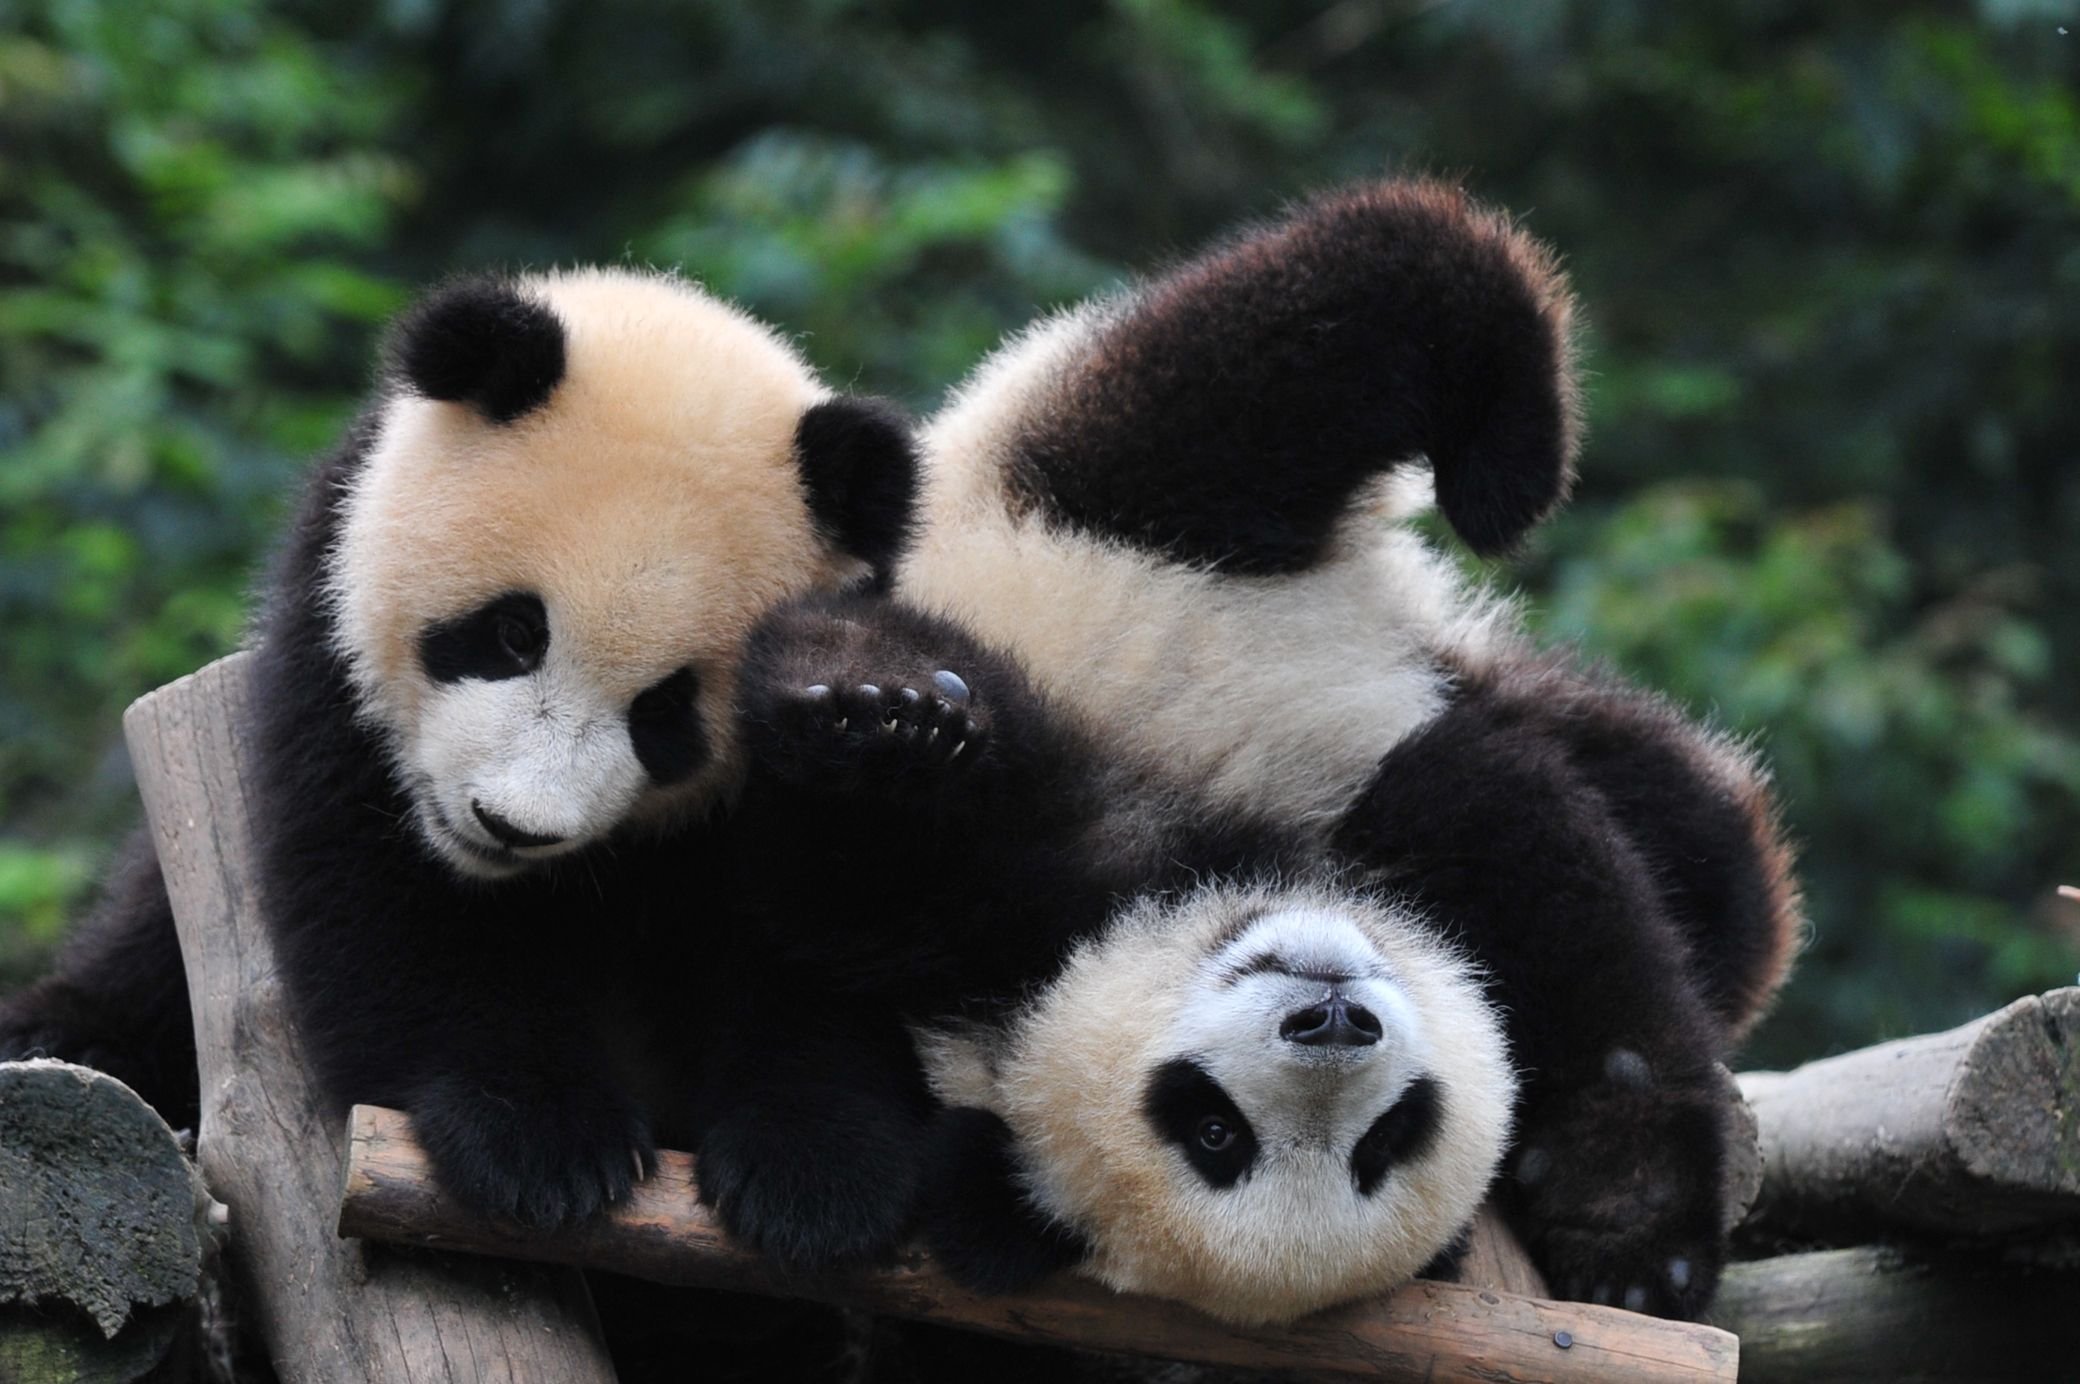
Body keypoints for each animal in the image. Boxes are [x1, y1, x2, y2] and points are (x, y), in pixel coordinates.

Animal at [0, 266, 933, 1256]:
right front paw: (542, 1143)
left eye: (665, 711)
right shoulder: (334, 655)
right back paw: (68, 1036)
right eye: (515, 633)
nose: (512, 826)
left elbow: (808, 929)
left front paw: (814, 1175)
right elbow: (380, 899)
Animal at [871, 180, 1804, 1320]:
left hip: (1100, 515)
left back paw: (1504, 455)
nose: (1330, 1018)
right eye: (1219, 1132)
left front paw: (1631, 1224)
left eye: (1390, 1129)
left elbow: (1532, 879)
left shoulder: (1018, 844)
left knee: (1313, 329)